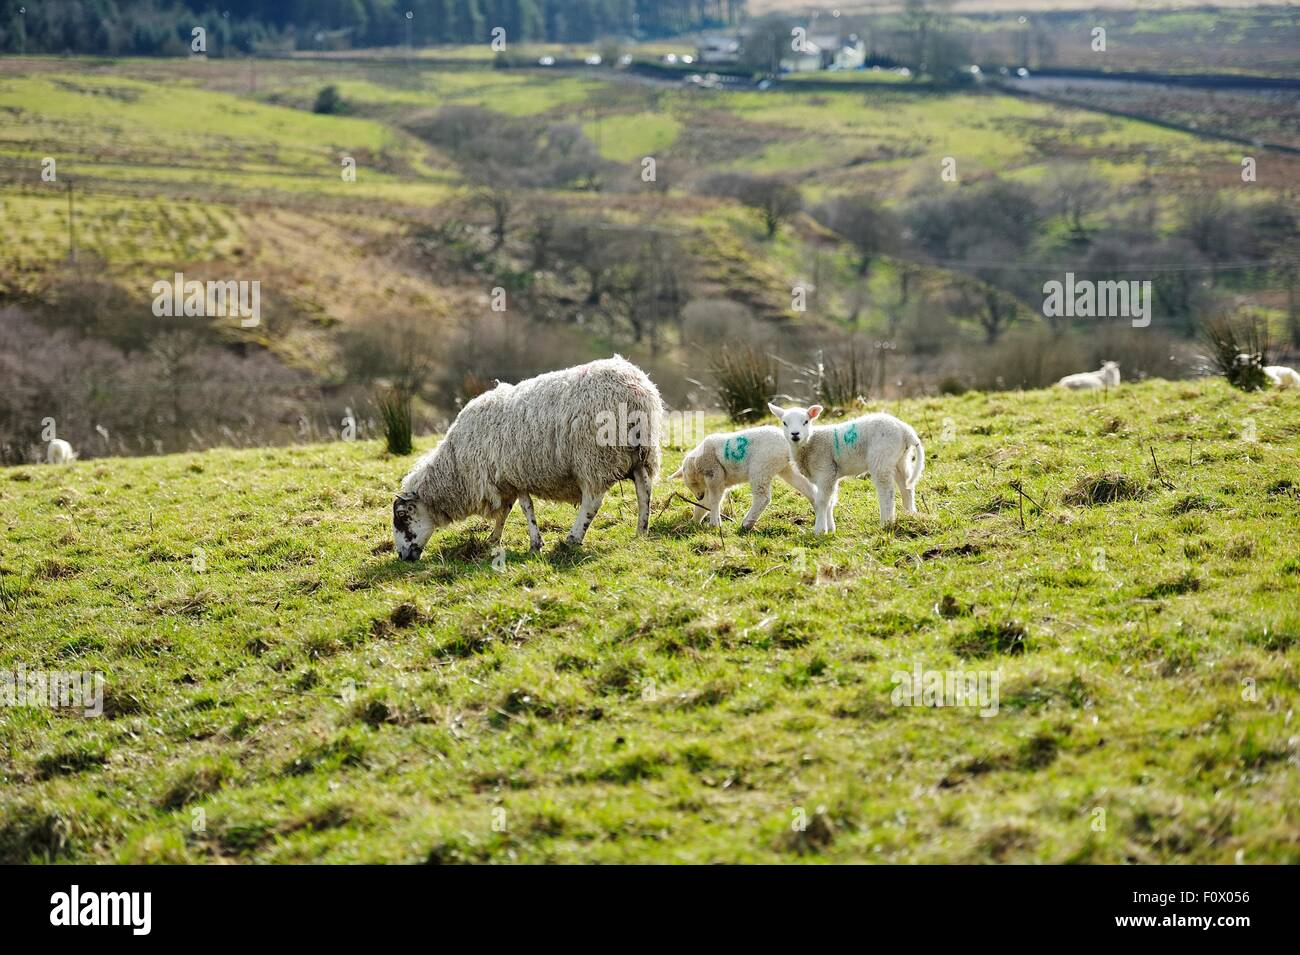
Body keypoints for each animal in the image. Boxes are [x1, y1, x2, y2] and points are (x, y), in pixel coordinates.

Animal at [393, 356, 663, 560]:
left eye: (402, 516)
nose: (403, 557)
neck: (457, 464)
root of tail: (635, 387)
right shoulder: (506, 479)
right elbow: (505, 511)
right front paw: (493, 538)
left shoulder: (515, 475)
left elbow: (524, 508)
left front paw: (535, 544)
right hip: (639, 453)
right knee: (644, 491)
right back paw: (641, 530)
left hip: (594, 457)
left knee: (592, 501)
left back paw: (573, 538)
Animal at [670, 426, 816, 531]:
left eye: (693, 483)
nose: (698, 496)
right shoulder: (717, 482)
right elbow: (704, 503)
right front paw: (693, 522)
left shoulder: (714, 474)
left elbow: (713, 500)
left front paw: (714, 523)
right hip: (785, 467)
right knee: (807, 488)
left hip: (761, 466)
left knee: (762, 498)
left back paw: (747, 523)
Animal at [769, 403, 925, 532]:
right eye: (784, 423)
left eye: (805, 422)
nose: (795, 434)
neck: (809, 443)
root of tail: (906, 431)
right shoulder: (830, 474)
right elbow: (830, 501)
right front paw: (831, 528)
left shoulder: (825, 471)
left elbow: (822, 501)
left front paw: (820, 530)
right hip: (901, 458)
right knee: (906, 487)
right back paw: (910, 515)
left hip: (882, 456)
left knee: (887, 491)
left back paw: (886, 522)